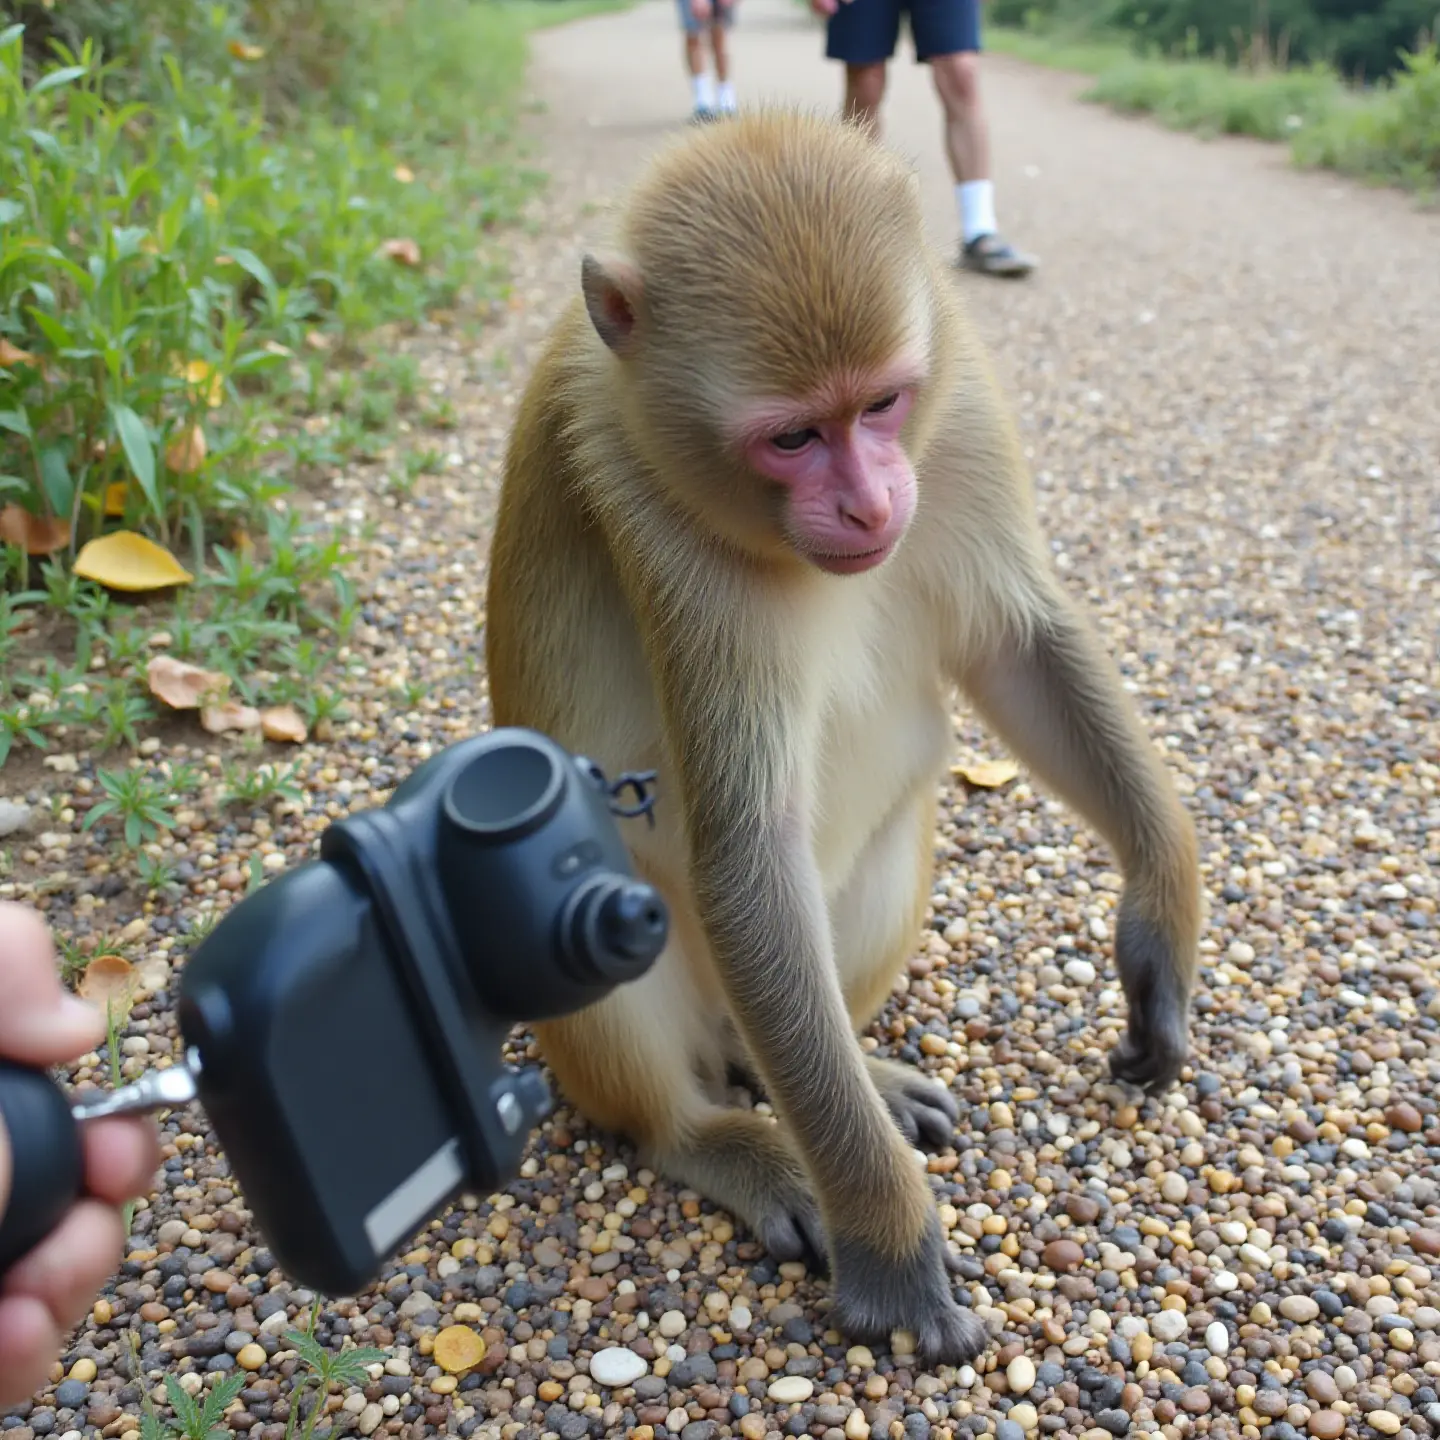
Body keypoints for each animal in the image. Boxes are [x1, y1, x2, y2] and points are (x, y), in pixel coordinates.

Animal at [483, 108, 1202, 1364]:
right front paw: (889, 1239)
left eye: (880, 406)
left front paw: (1158, 925)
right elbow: (747, 846)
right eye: (790, 438)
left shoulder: (961, 413)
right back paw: (720, 1138)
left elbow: (1017, 649)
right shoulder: (658, 519)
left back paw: (845, 1070)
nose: (869, 503)